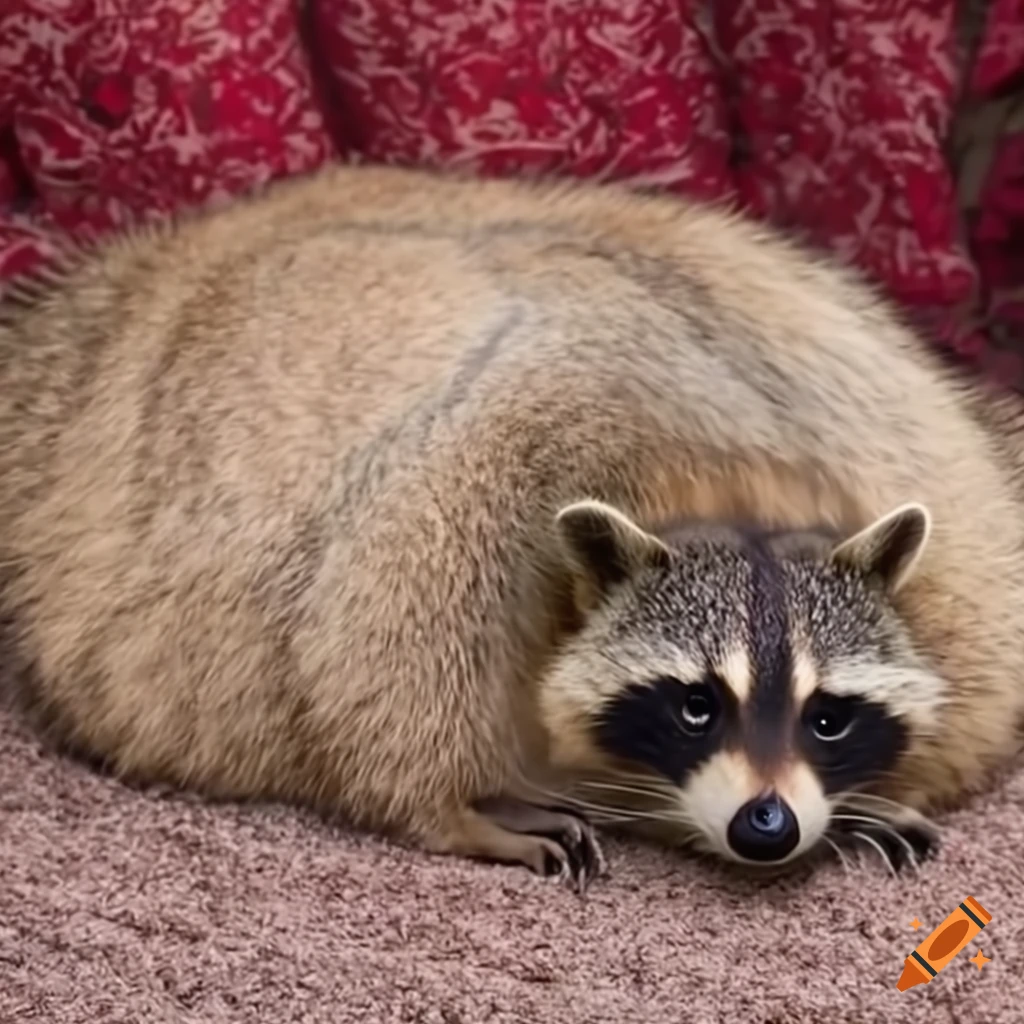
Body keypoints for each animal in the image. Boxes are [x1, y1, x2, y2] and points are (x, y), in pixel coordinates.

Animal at [1, 164, 1022, 888]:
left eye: (829, 717)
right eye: (693, 707)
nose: (764, 826)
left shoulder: (931, 497)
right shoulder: (478, 469)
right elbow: (377, 667)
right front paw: (451, 801)